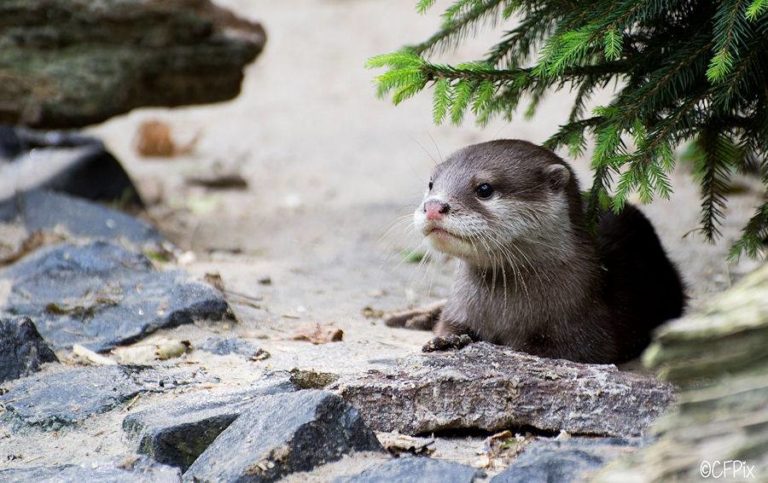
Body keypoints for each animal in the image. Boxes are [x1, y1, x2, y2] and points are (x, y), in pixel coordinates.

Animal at [386, 140, 685, 364]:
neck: (503, 312)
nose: (434, 206)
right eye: (431, 184)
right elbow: (448, 325)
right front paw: (444, 341)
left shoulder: (584, 335)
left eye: (484, 188)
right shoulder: (459, 309)